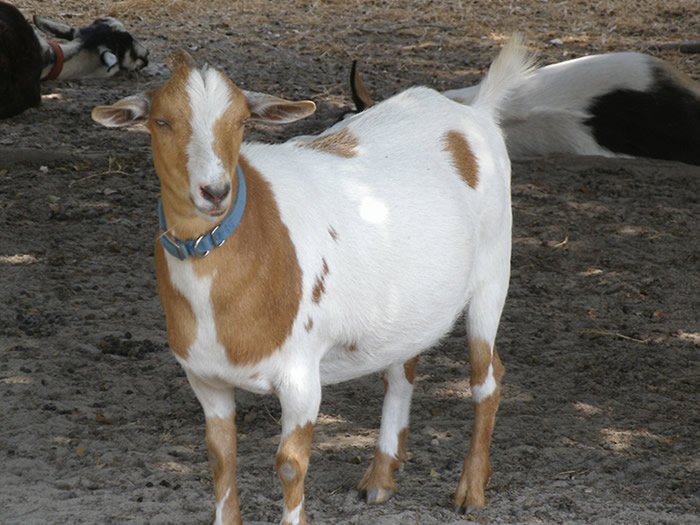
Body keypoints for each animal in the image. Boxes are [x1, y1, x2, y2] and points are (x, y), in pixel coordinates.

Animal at [91, 35, 534, 524]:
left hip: (494, 272)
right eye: (162, 121)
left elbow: (289, 464)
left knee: (486, 378)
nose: (215, 191)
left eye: (241, 121)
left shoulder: (300, 374)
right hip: (404, 307)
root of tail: (474, 111)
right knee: (401, 371)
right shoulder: (205, 378)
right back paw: (381, 478)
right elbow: (220, 458)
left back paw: (471, 490)